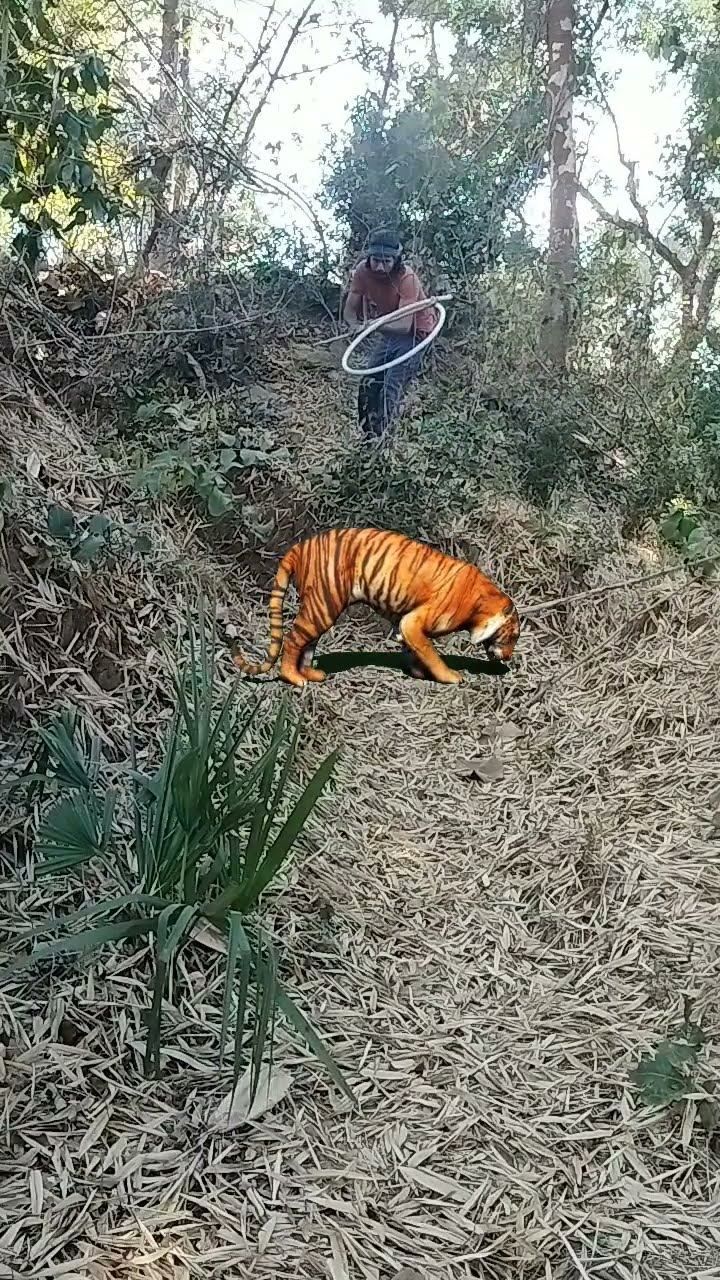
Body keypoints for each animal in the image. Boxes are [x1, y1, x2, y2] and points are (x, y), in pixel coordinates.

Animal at [232, 528, 520, 688]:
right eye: (514, 636)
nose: (508, 658)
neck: (481, 605)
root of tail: (301, 546)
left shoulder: (406, 623)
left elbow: (415, 649)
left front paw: (417, 672)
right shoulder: (413, 621)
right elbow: (430, 652)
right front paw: (449, 676)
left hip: (319, 607)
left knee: (307, 642)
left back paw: (312, 673)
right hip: (324, 604)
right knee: (293, 639)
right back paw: (294, 678)